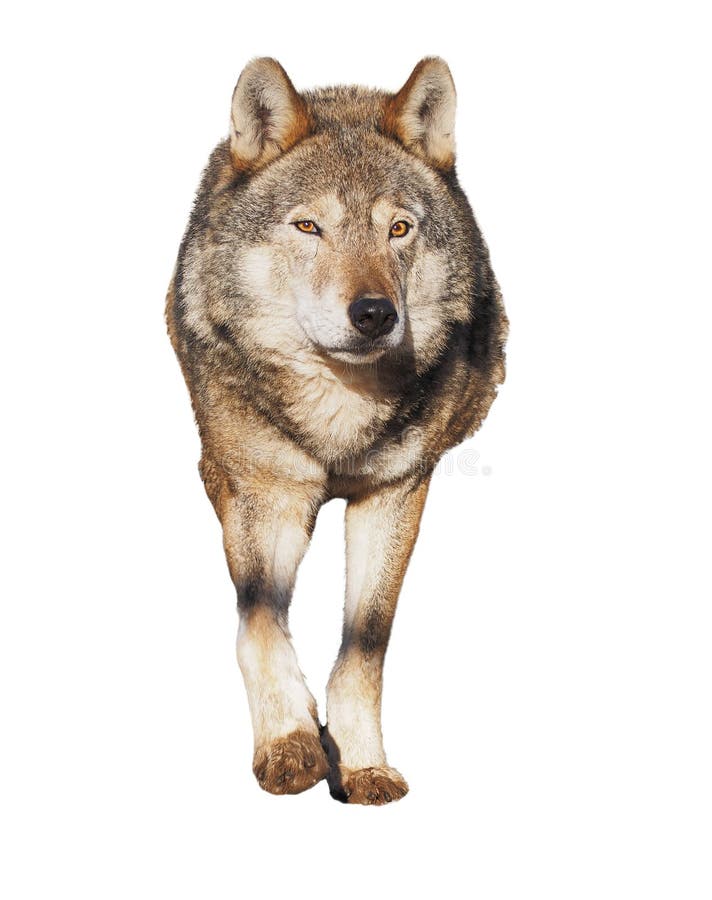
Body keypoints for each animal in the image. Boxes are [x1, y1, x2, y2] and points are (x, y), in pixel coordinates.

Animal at [166, 57, 507, 804]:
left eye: (399, 230)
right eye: (309, 227)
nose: (375, 313)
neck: (337, 422)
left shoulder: (396, 493)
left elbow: (365, 643)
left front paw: (361, 762)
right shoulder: (260, 492)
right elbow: (259, 619)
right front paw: (292, 741)